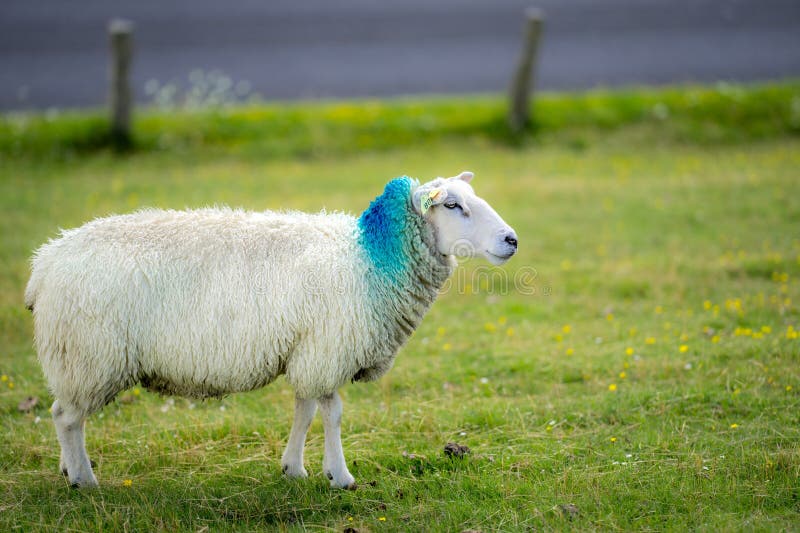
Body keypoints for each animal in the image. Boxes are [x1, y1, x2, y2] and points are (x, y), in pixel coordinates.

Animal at [25, 171, 518, 489]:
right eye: (453, 205)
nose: (512, 240)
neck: (371, 258)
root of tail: (45, 260)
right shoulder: (327, 347)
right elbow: (333, 413)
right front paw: (340, 476)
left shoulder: (307, 349)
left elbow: (305, 410)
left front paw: (294, 469)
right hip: (89, 353)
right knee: (67, 417)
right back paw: (85, 481)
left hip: (78, 356)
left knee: (62, 413)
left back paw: (70, 471)